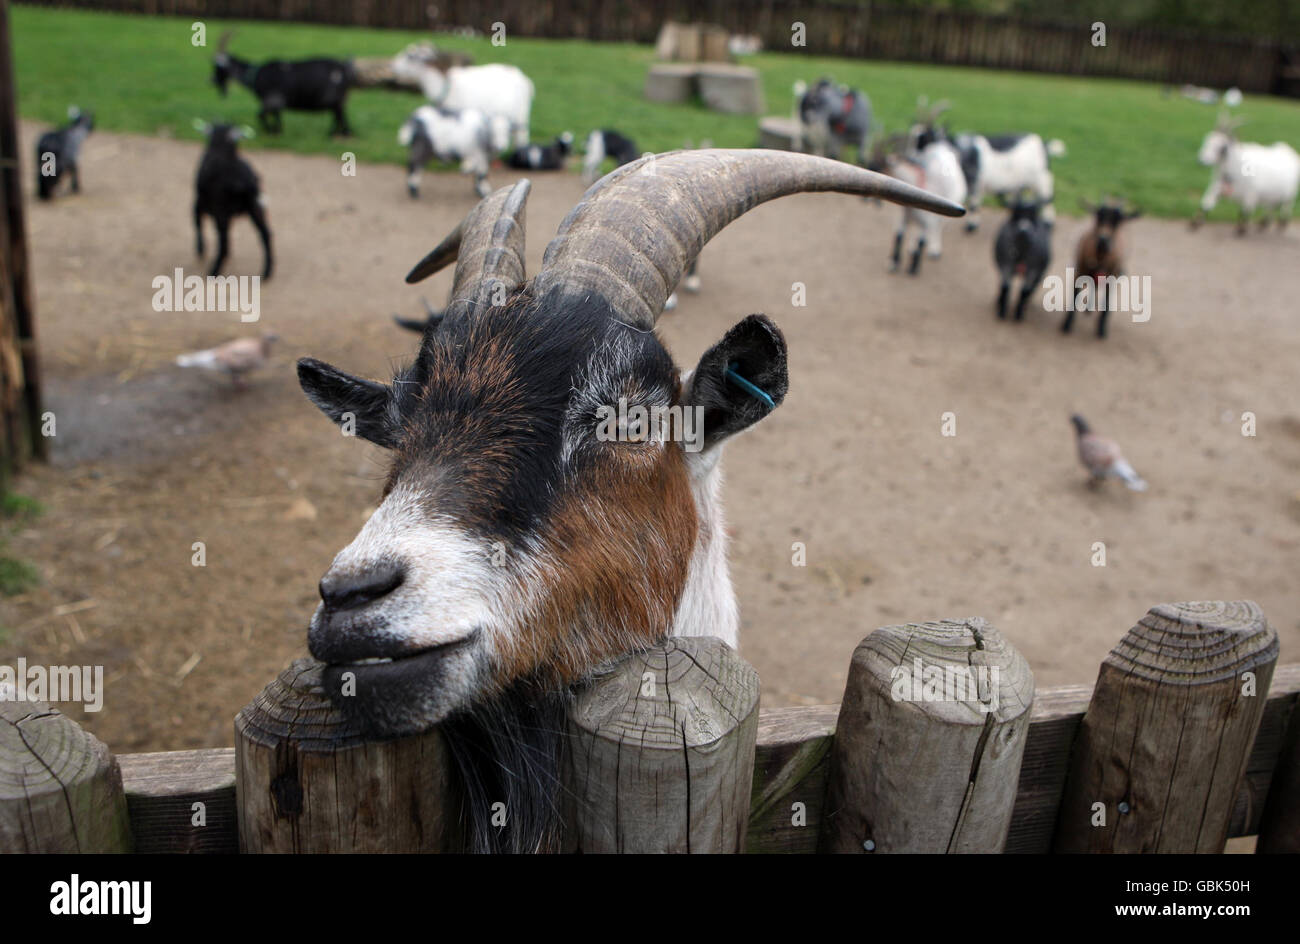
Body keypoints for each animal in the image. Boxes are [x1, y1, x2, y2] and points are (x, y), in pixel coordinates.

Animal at [192, 121, 272, 279]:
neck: (220, 148)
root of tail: (246, 181)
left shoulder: (199, 203)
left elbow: (197, 222)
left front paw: (200, 250)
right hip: (255, 208)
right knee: (266, 234)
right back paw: (266, 272)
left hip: (221, 213)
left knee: (224, 246)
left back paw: (214, 271)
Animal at [213, 31, 354, 136]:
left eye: (216, 67)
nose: (211, 80)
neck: (256, 75)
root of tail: (344, 69)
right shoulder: (276, 102)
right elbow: (276, 116)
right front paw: (278, 130)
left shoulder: (272, 99)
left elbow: (261, 115)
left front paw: (272, 131)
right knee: (340, 116)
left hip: (333, 99)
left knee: (339, 116)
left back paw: (334, 134)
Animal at [392, 46, 534, 152]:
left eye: (410, 56)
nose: (393, 65)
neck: (445, 85)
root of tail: (524, 80)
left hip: (521, 114)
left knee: (522, 138)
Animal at [1065, 198, 1140, 338]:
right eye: (1098, 216)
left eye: (1118, 221)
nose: (1103, 240)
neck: (1100, 258)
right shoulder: (1079, 271)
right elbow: (1074, 296)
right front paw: (1066, 325)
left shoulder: (1112, 277)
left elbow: (1107, 303)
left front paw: (1101, 330)